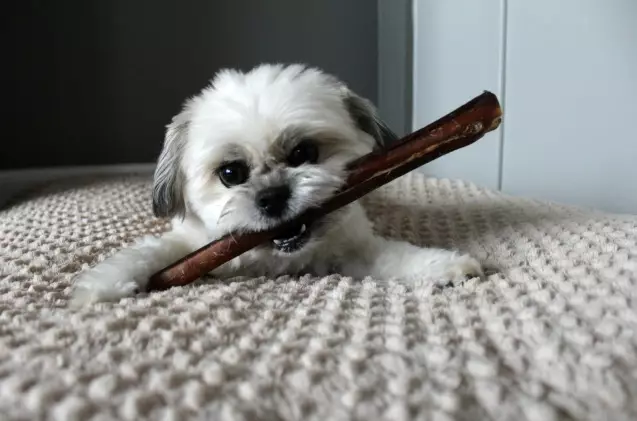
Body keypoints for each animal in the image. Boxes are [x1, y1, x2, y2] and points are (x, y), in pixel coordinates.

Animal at [69, 63, 480, 306]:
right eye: (230, 174)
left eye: (304, 152)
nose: (272, 197)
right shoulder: (193, 245)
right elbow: (147, 253)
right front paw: (102, 286)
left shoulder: (355, 248)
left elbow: (397, 255)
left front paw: (443, 266)